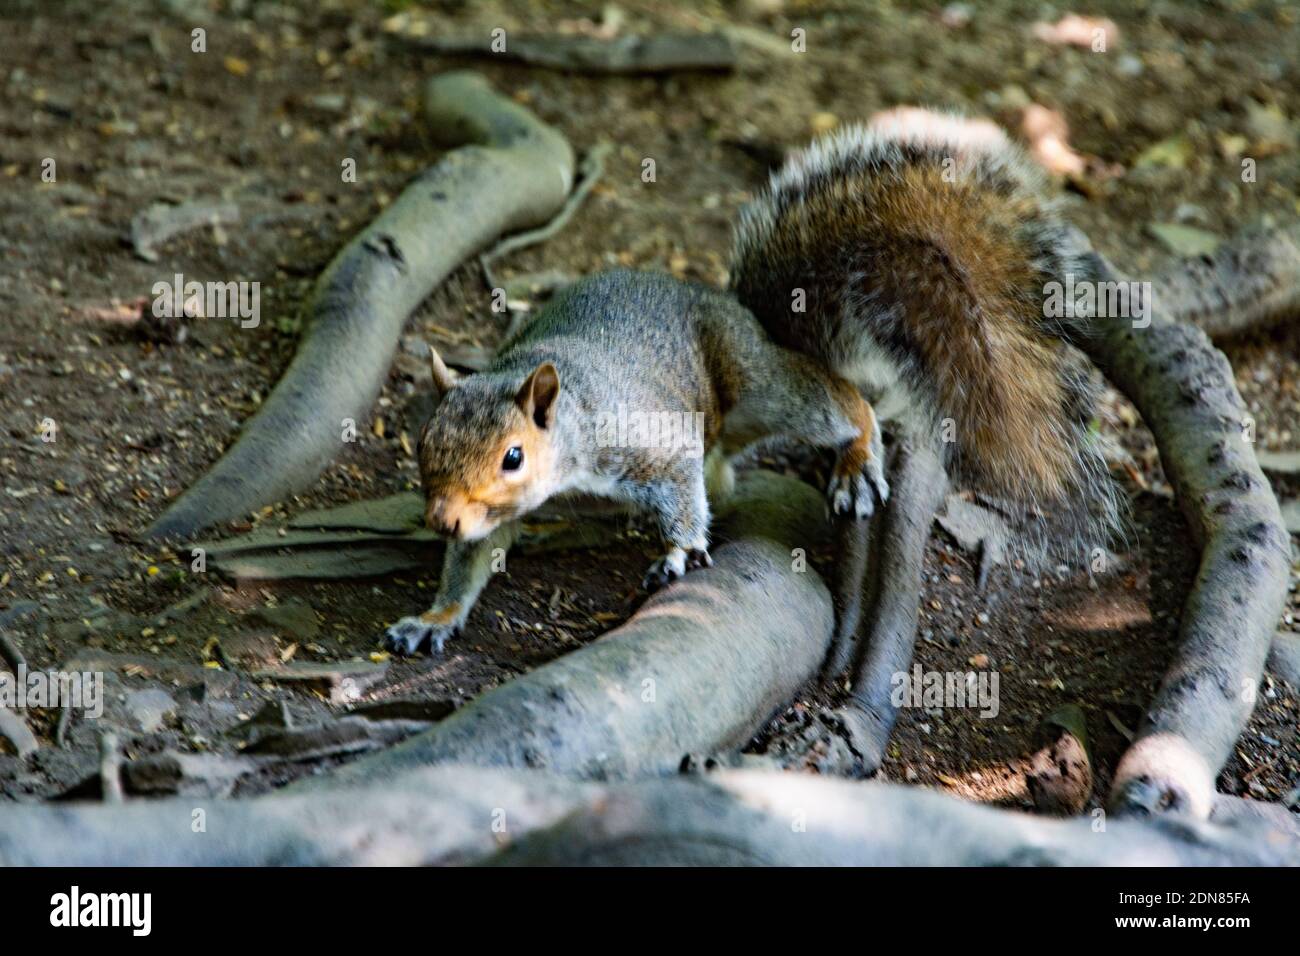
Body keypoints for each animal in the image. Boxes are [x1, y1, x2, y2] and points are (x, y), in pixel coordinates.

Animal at [384, 109, 1120, 656]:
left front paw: (678, 553)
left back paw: (855, 458)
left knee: (838, 402)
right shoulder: (493, 516)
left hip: (762, 384)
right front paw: (434, 616)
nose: (441, 518)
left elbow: (679, 492)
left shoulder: (649, 438)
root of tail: (751, 319)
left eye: (513, 456)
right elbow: (473, 561)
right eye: (426, 443)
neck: (569, 435)